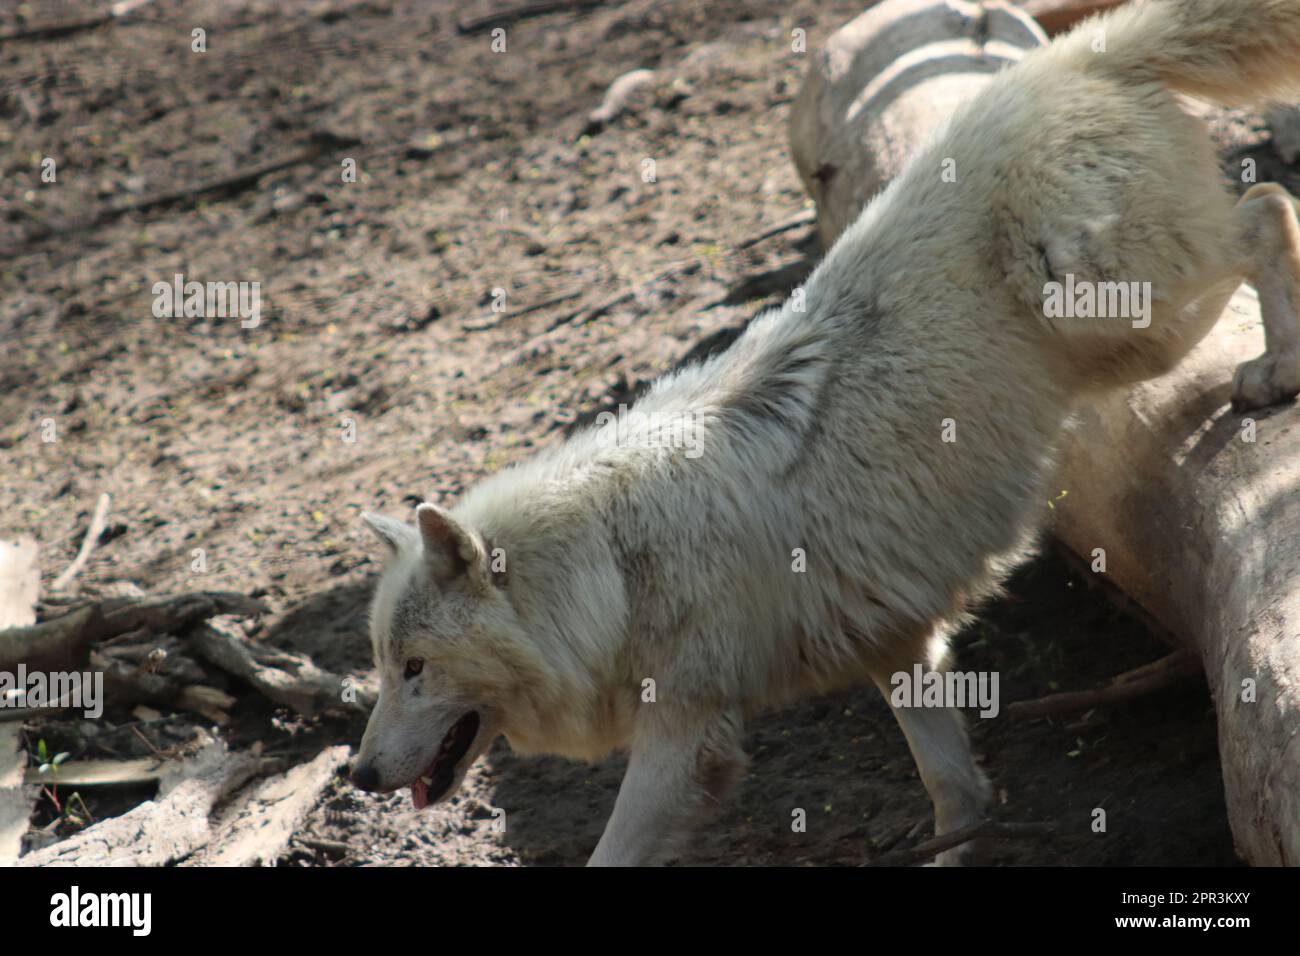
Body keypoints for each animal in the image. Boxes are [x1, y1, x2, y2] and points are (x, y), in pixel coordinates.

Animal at [350, 0, 1300, 865]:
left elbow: (612, 851)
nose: (358, 775)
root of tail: (1075, 56)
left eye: (415, 668)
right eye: (382, 662)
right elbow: (954, 788)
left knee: (1267, 206)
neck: (612, 572)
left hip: (1117, 311)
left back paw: (1276, 369)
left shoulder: (688, 734)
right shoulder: (896, 639)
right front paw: (959, 851)